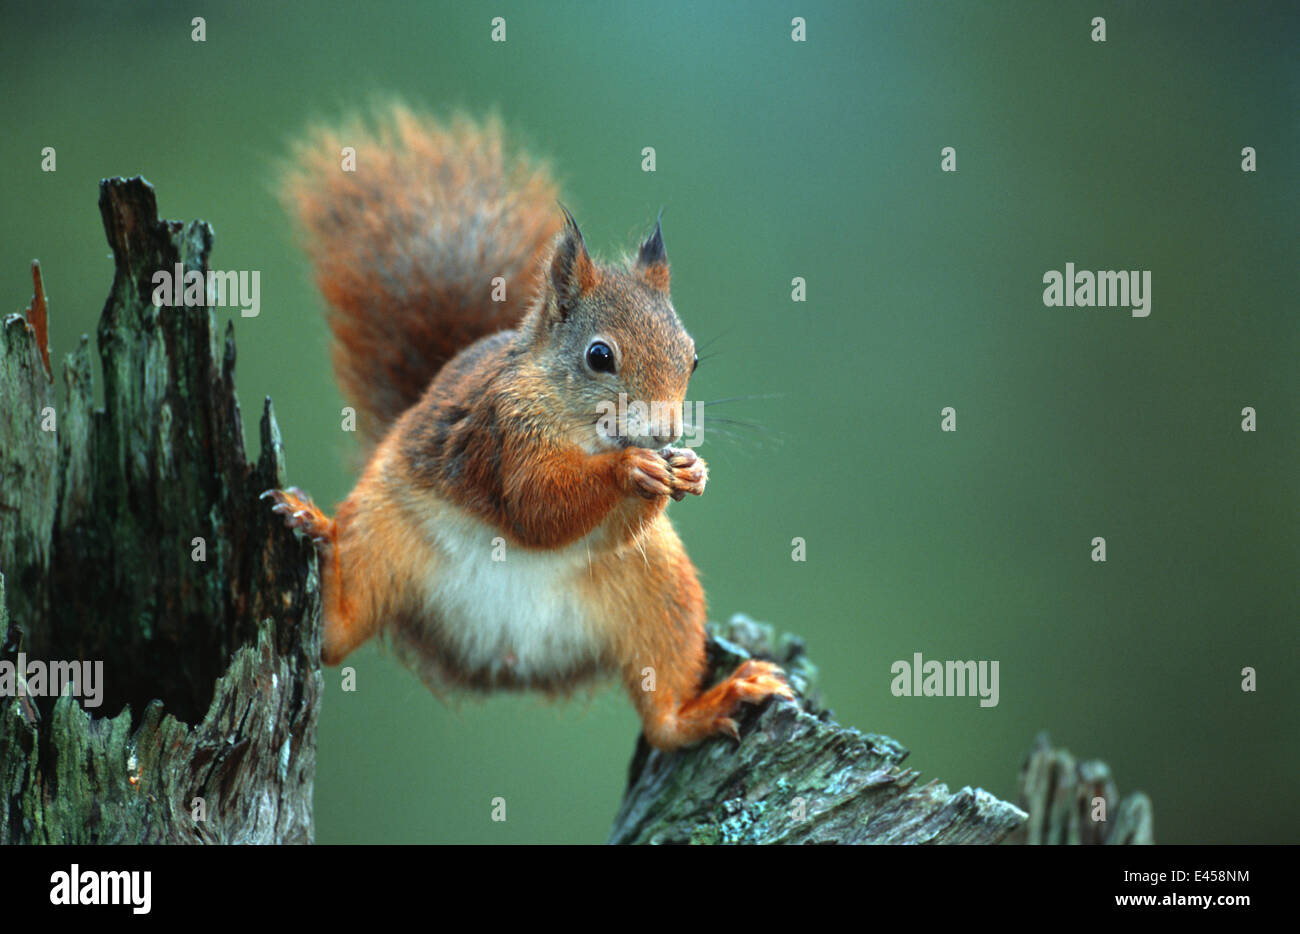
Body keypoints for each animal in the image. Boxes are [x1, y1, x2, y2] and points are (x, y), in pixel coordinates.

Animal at [266, 104, 792, 750]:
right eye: (599, 356)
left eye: (692, 359)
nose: (665, 434)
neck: (581, 428)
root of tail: (505, 658)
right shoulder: (505, 431)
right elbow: (536, 507)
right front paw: (629, 469)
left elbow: (602, 528)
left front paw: (690, 471)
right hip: (378, 532)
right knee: (335, 636)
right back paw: (309, 523)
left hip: (662, 590)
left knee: (662, 715)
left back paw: (710, 703)